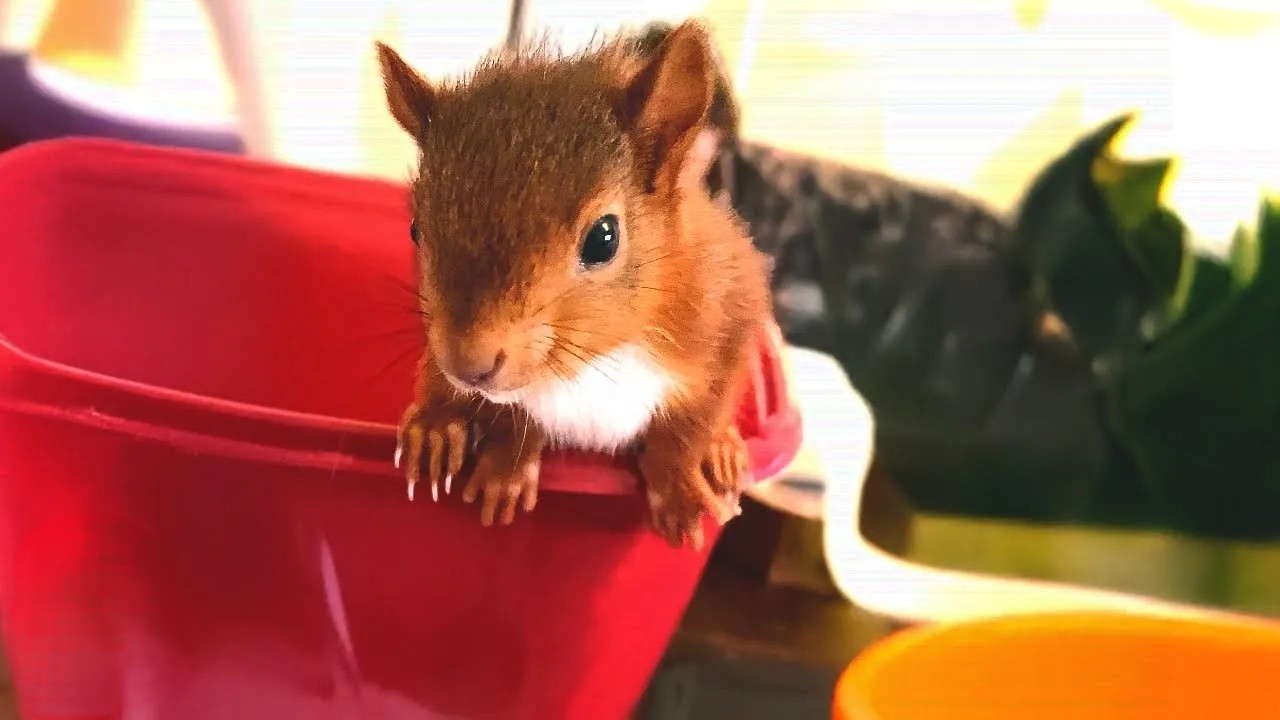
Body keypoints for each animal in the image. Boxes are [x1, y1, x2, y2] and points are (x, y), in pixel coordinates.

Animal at [376, 20, 773, 551]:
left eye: (604, 238)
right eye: (416, 230)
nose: (468, 365)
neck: (592, 358)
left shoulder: (727, 303)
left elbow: (689, 423)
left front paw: (682, 488)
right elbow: (511, 417)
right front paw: (506, 470)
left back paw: (725, 451)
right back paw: (436, 432)